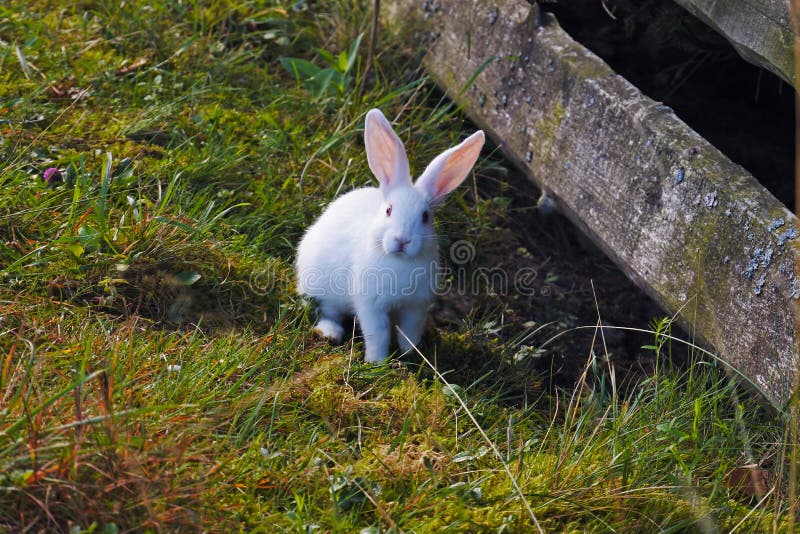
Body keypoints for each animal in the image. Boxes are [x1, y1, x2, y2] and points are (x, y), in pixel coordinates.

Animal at [295, 108, 484, 362]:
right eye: (388, 210)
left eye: (425, 217)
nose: (403, 240)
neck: (399, 261)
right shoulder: (371, 306)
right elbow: (378, 333)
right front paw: (376, 362)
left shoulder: (415, 307)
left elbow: (409, 332)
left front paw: (411, 354)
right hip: (320, 290)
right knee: (326, 313)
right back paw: (330, 333)